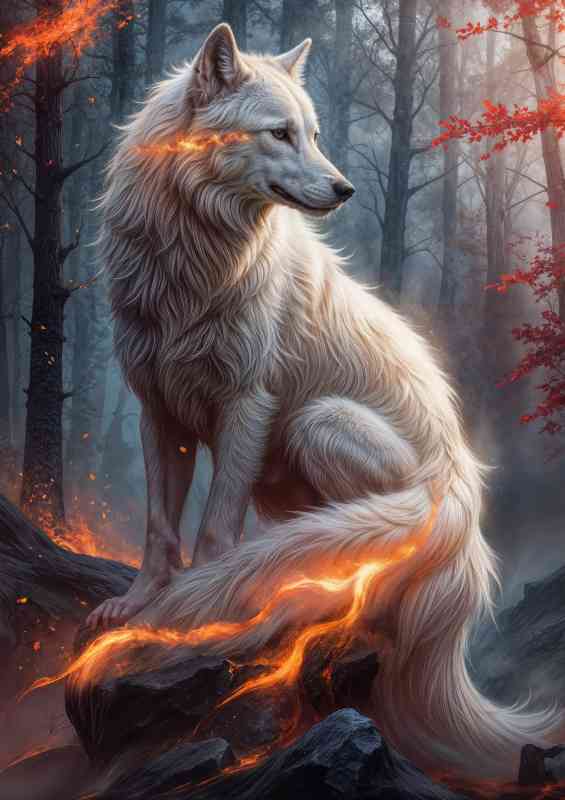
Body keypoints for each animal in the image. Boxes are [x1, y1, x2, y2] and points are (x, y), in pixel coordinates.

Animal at [87, 24, 557, 771]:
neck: (192, 257)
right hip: (285, 472)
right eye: (279, 133)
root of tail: (462, 484)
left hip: (315, 421)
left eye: (312, 133)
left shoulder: (246, 403)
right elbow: (160, 525)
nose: (345, 189)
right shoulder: (156, 407)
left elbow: (214, 530)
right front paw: (138, 605)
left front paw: (201, 608)